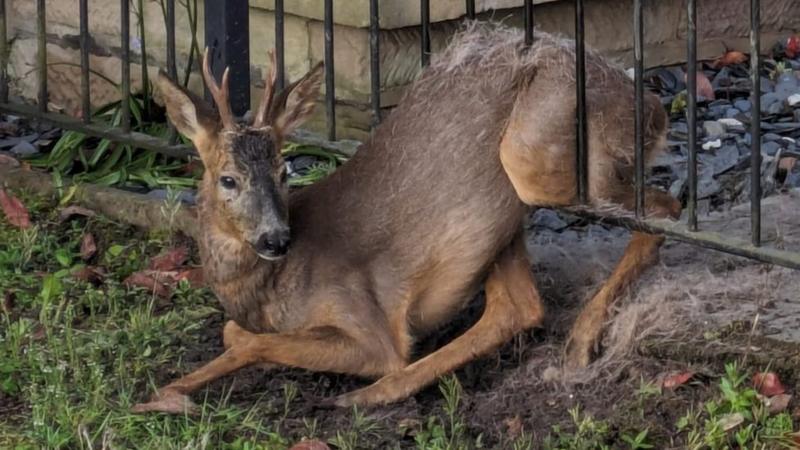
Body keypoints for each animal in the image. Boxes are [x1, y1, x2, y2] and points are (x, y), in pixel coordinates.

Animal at [132, 24, 680, 414]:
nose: (275, 238)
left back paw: (580, 342)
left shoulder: (364, 319)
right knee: (519, 306)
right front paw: (167, 394)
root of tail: (653, 107)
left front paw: (163, 395)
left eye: (285, 170)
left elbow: (245, 340)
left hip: (540, 154)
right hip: (501, 209)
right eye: (227, 179)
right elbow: (237, 332)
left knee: (664, 209)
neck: (271, 289)